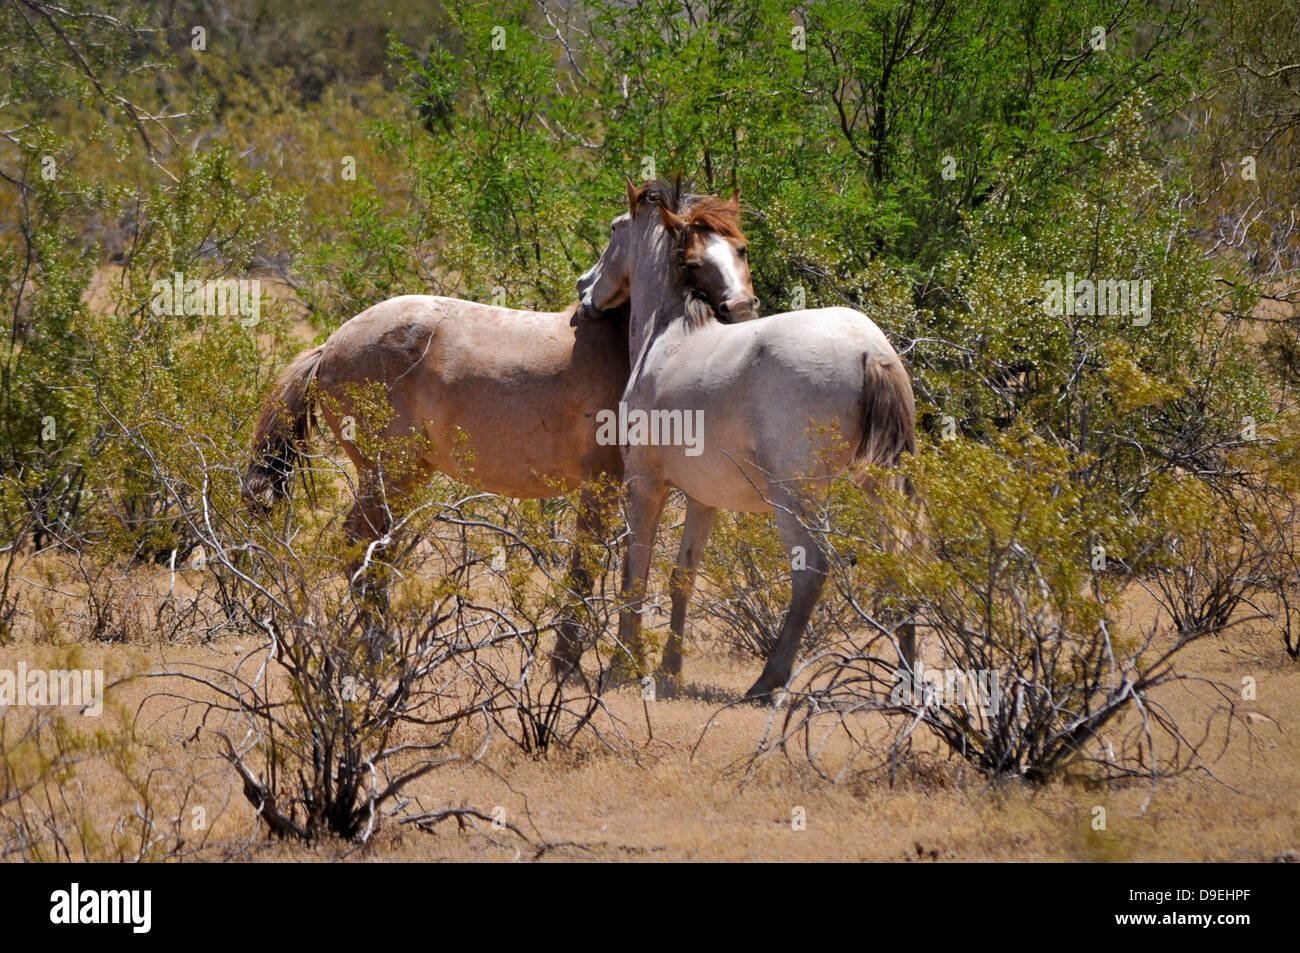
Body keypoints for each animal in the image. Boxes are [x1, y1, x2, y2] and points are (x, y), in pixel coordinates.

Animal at [240, 179, 758, 676]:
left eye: (742, 248)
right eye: (691, 258)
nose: (743, 310)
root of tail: (330, 344)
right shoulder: (606, 485)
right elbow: (587, 564)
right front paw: (566, 663)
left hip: (406, 477)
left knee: (377, 547)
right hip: (388, 474)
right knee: (358, 544)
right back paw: (377, 651)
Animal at [576, 178, 916, 702]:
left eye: (614, 230)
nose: (584, 288)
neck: (669, 337)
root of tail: (869, 348)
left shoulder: (645, 485)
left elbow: (636, 571)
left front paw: (623, 667)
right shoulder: (704, 498)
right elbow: (682, 576)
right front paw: (671, 672)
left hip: (795, 498)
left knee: (812, 570)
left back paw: (767, 681)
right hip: (879, 487)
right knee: (902, 565)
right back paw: (908, 679)